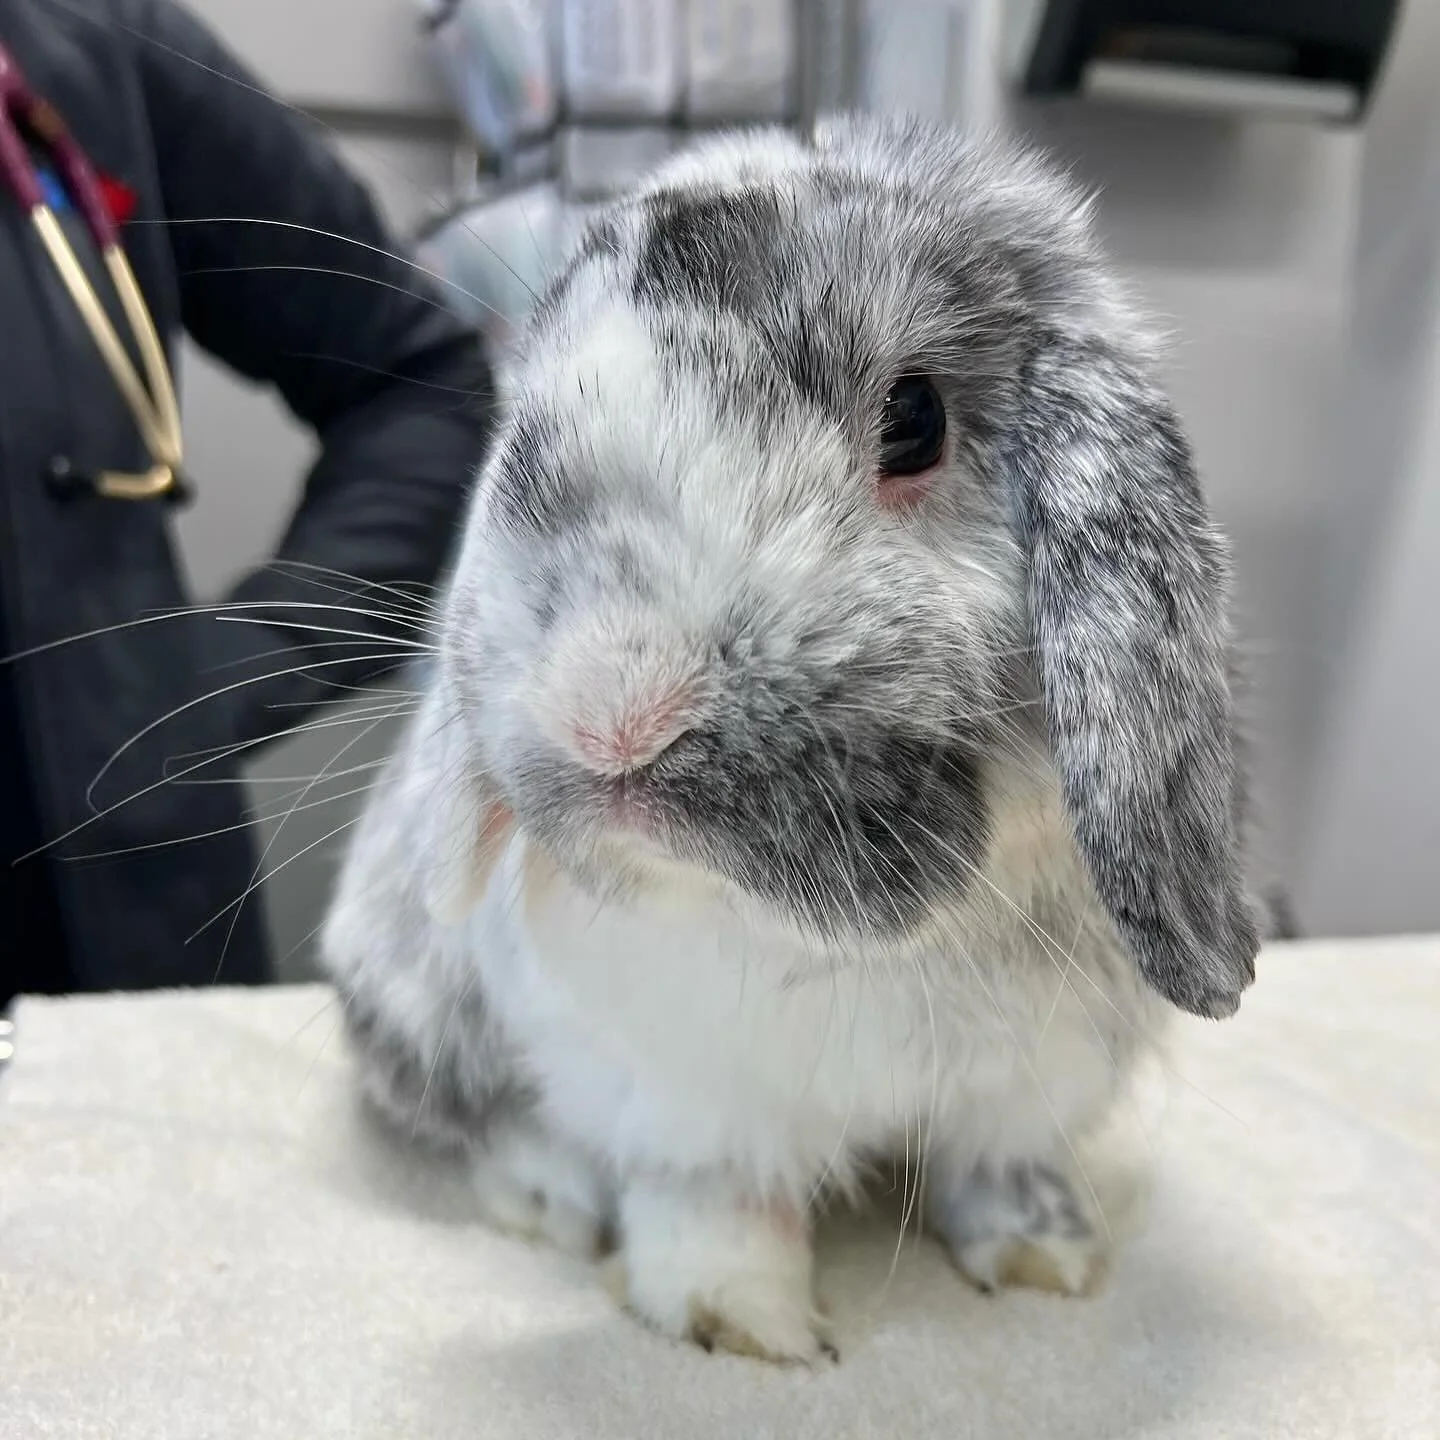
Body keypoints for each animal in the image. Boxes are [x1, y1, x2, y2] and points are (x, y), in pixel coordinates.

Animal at [319, 112, 1260, 1365]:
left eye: (915, 418)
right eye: (523, 427)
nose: (609, 708)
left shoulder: (1038, 1074)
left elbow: (1002, 1163)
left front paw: (1046, 1260)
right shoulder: (683, 1089)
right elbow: (717, 1197)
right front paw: (743, 1324)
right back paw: (549, 1201)